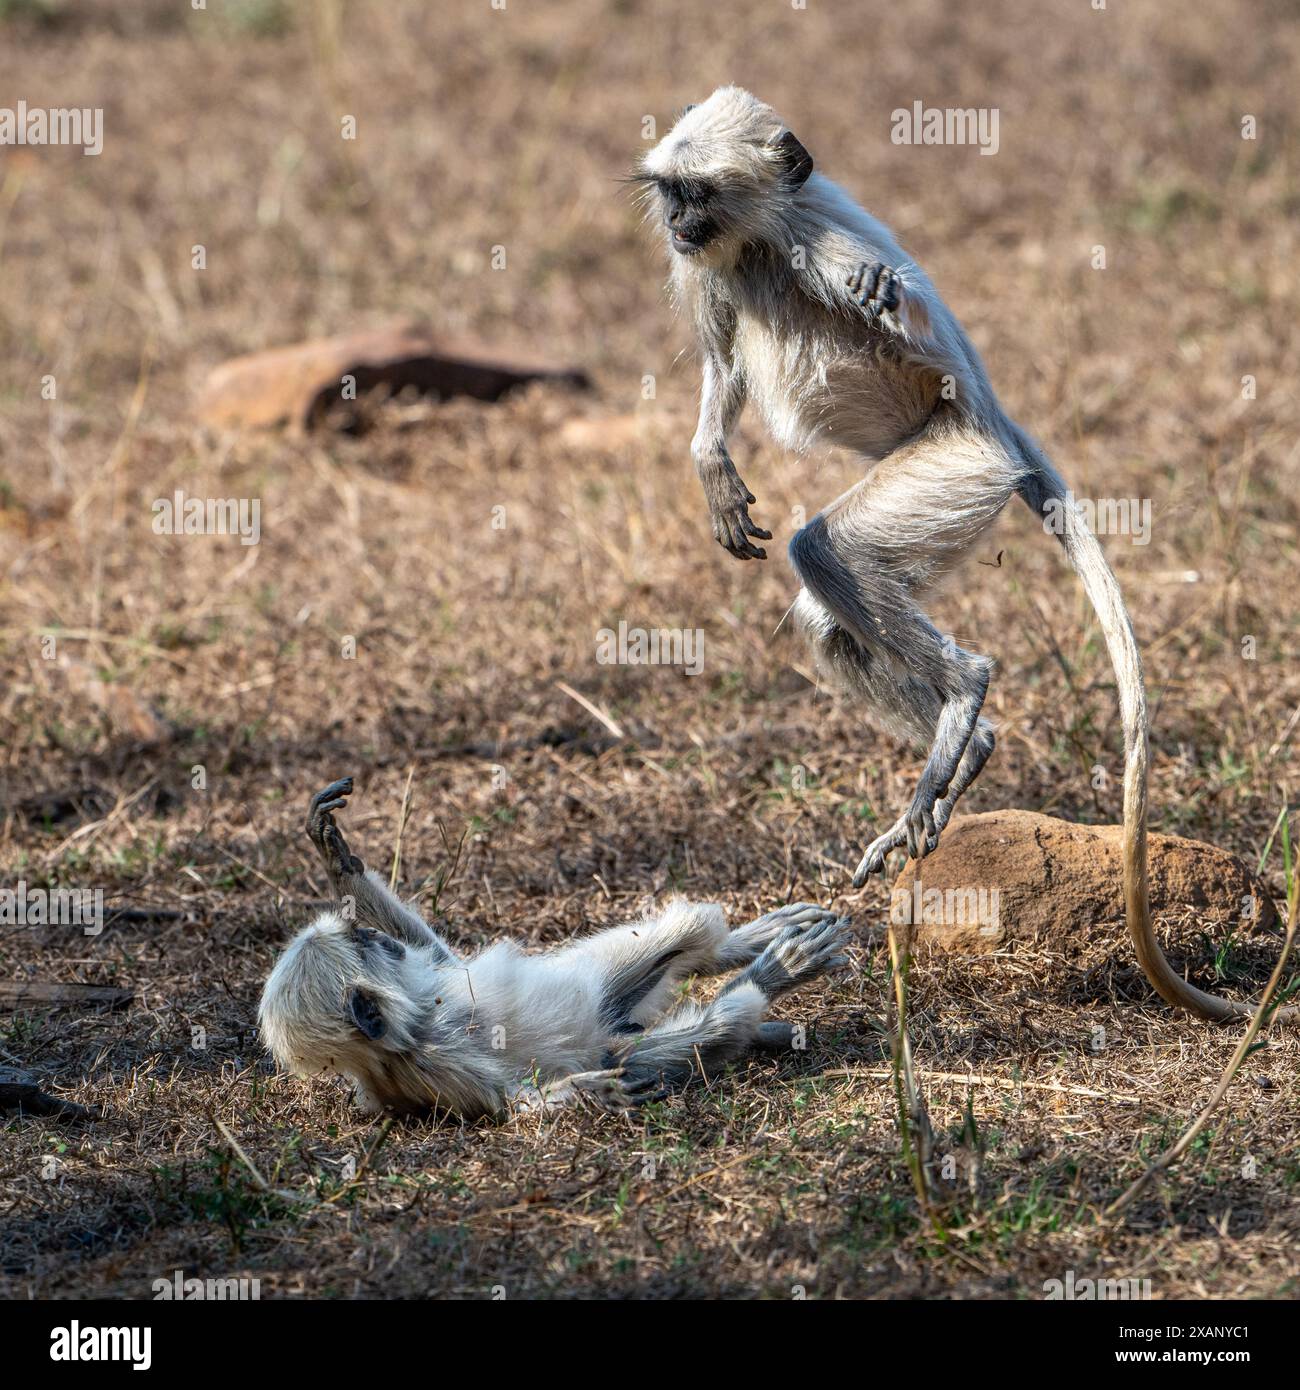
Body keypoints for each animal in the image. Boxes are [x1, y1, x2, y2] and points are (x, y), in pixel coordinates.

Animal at [258, 778, 852, 1119]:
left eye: (364, 937)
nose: (379, 938)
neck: (419, 1020)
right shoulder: (434, 1063)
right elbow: (520, 1104)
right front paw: (591, 1095)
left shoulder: (432, 980)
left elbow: (446, 958)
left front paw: (337, 858)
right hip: (613, 1026)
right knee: (654, 1040)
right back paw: (769, 977)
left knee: (685, 939)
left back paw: (738, 948)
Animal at [638, 86, 1293, 1024]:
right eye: (670, 192)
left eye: (701, 193)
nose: (677, 222)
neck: (755, 239)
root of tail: (991, 420)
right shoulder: (708, 267)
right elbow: (721, 369)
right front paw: (711, 465)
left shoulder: (809, 236)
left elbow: (878, 294)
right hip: (946, 482)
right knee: (830, 617)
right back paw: (969, 747)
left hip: (960, 465)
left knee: (823, 550)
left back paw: (965, 696)